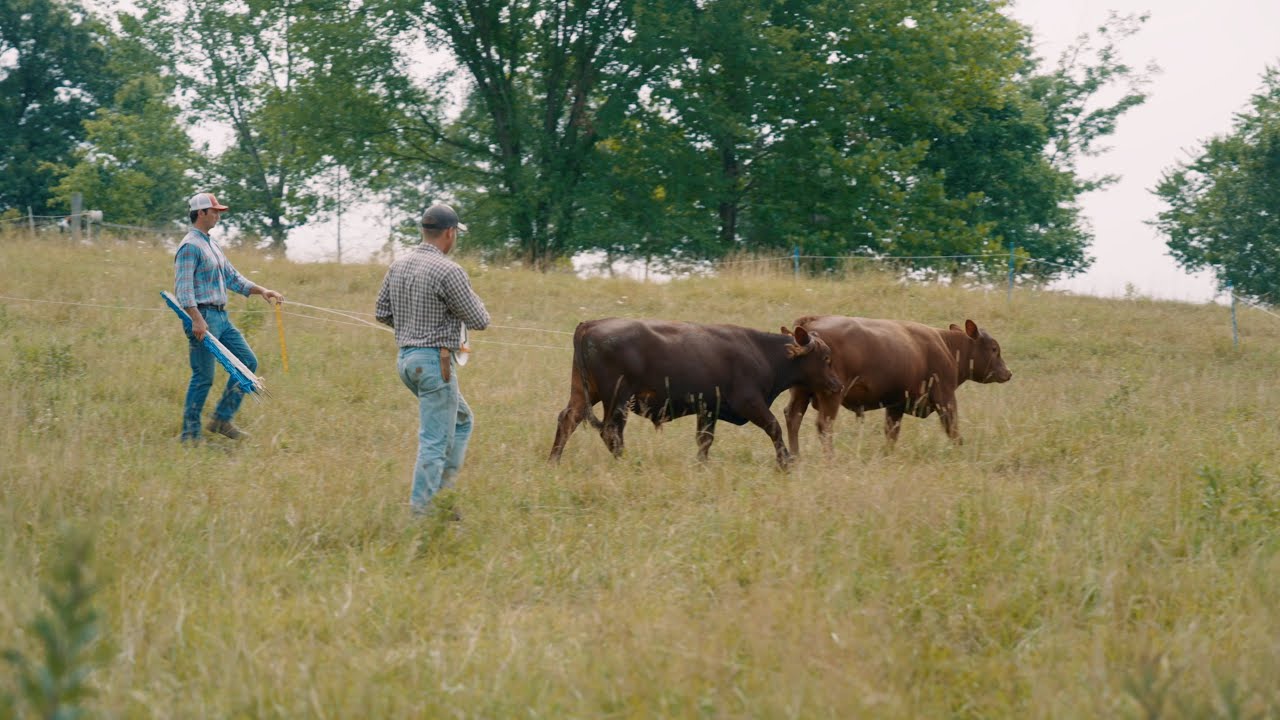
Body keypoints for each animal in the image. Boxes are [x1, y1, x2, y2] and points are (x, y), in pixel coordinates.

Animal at [548, 318, 844, 468]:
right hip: (618, 399)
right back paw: (626, 462)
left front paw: (702, 465)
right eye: (826, 358)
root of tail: (590, 324)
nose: (837, 384)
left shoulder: (708, 409)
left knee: (568, 419)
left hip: (585, 393)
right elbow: (774, 427)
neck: (763, 352)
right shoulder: (750, 402)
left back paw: (554, 461)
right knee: (611, 432)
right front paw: (786, 461)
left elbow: (704, 441)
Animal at [784, 316, 1012, 456]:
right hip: (831, 394)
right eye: (994, 348)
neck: (947, 345)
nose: (1008, 373)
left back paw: (795, 457)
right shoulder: (945, 398)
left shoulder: (896, 405)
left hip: (801, 393)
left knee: (793, 417)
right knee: (824, 424)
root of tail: (811, 322)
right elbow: (953, 429)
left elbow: (891, 432)